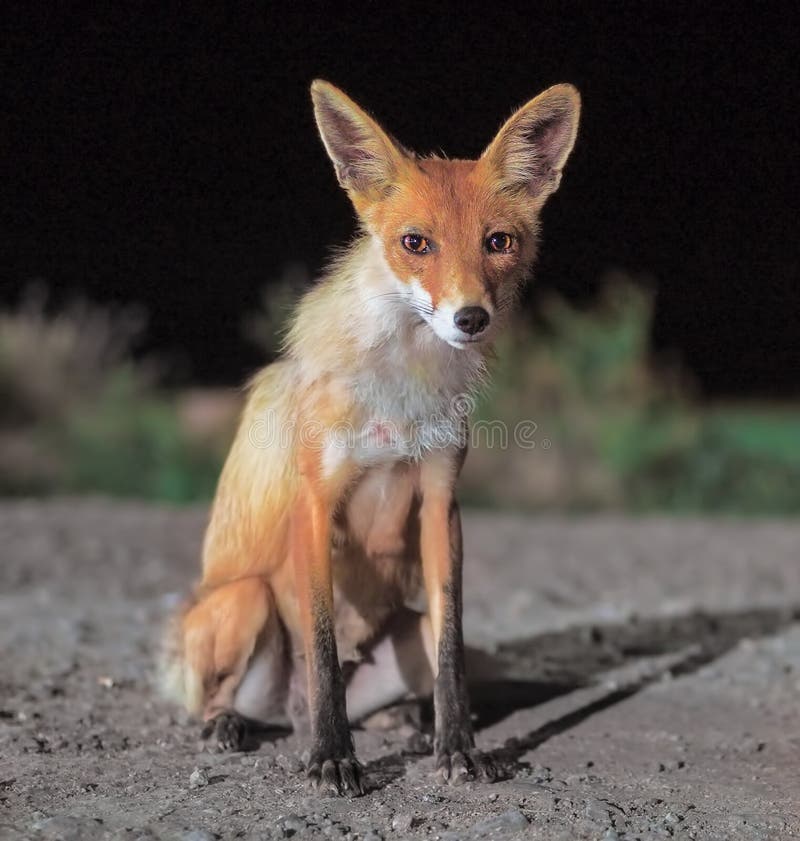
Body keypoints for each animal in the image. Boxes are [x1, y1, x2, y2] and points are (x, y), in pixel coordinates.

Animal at [161, 79, 580, 796]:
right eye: (416, 243)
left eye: (498, 241)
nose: (470, 317)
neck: (401, 393)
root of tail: (283, 711)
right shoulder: (316, 501)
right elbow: (323, 649)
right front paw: (333, 757)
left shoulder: (441, 502)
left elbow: (452, 654)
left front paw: (457, 747)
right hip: (244, 602)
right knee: (234, 695)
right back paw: (237, 725)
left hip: (403, 629)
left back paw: (398, 722)